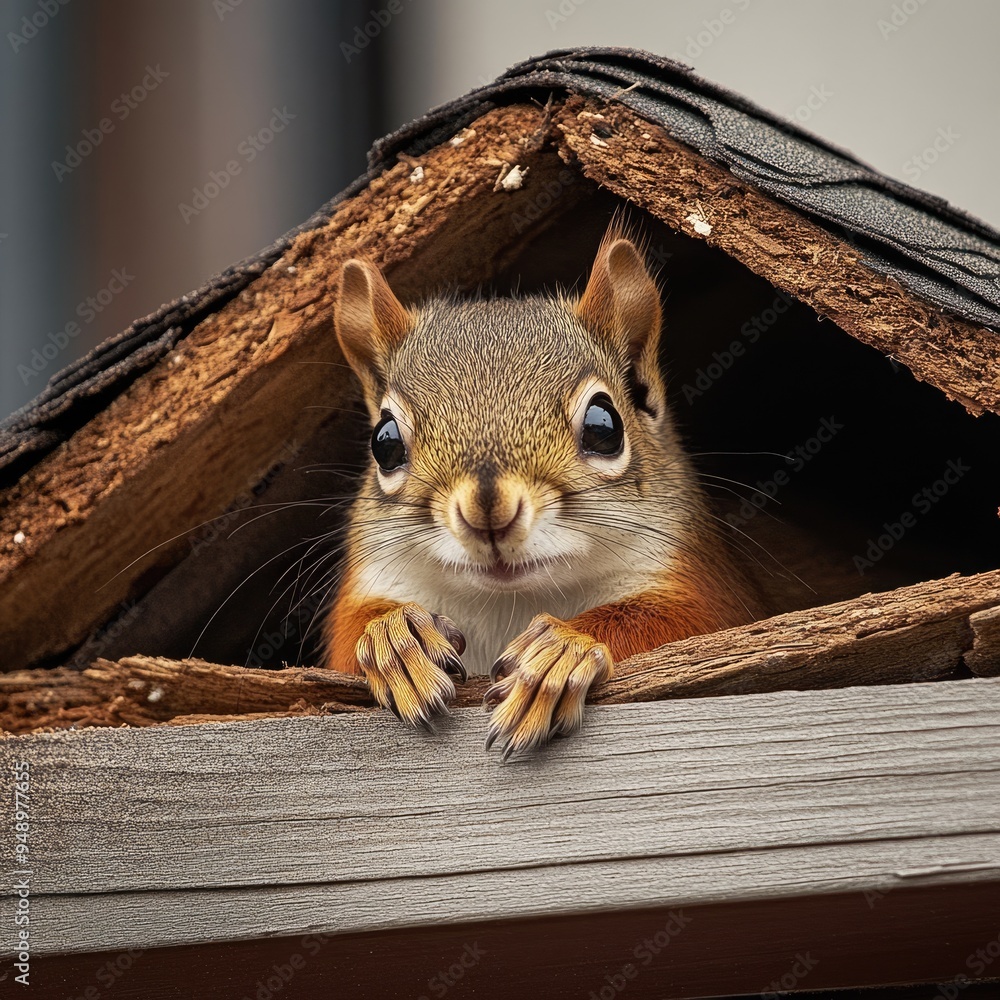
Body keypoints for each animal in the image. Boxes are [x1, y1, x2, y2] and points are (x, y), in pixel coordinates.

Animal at [323, 227, 764, 758]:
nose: (488, 513)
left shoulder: (705, 587)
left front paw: (562, 649)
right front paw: (395, 638)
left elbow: (690, 624)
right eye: (384, 442)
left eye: (604, 426)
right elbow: (347, 641)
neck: (509, 602)